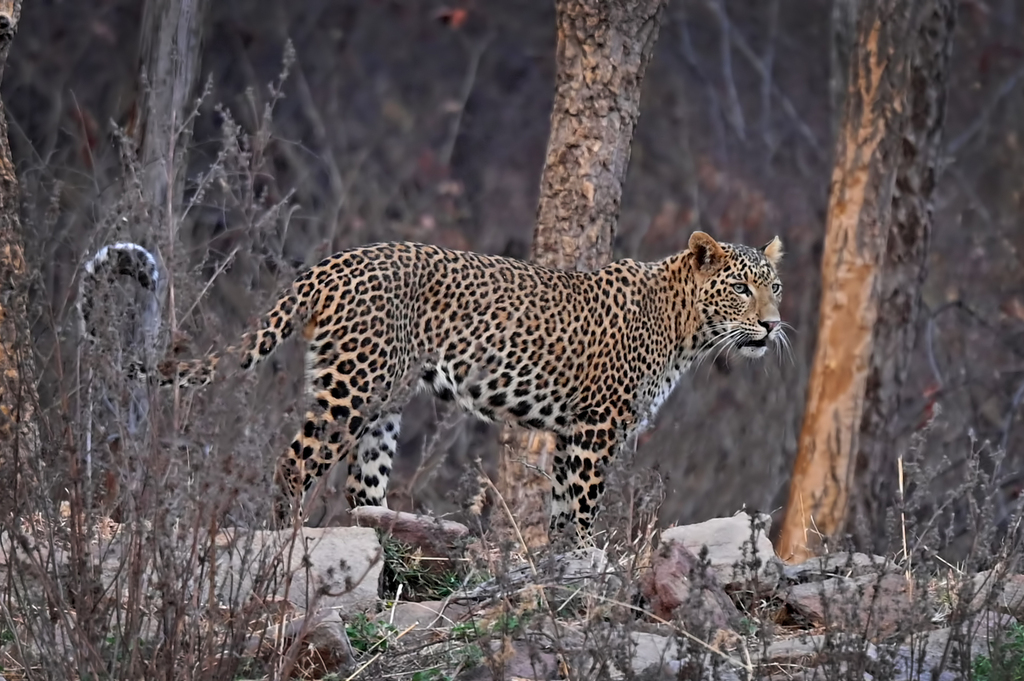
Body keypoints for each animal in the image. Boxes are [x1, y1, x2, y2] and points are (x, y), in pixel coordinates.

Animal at [140, 230, 786, 540]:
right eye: (739, 287)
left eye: (773, 286)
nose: (773, 324)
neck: (687, 328)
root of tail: (332, 262)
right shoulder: (596, 430)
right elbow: (582, 510)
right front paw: (586, 565)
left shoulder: (569, 435)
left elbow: (559, 510)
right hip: (350, 391)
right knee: (293, 463)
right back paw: (283, 542)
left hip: (384, 405)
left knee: (362, 489)